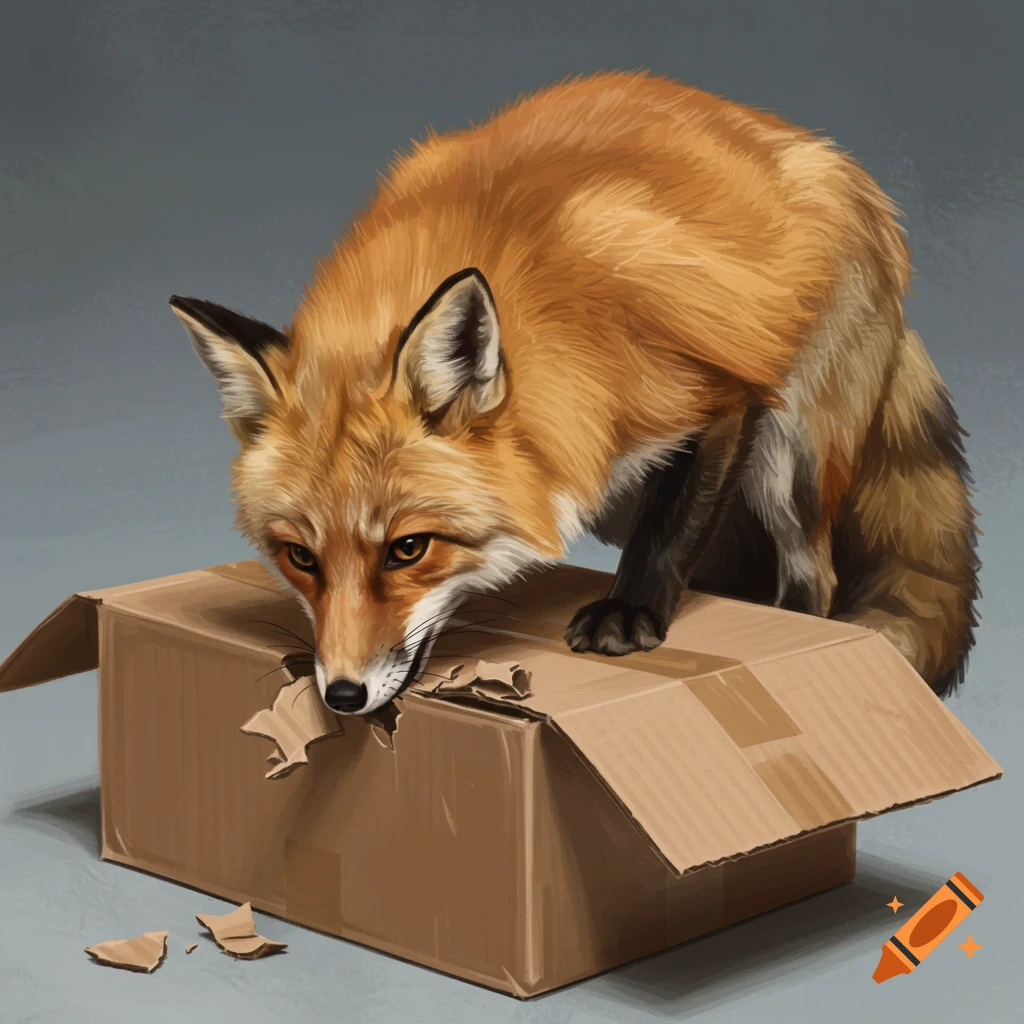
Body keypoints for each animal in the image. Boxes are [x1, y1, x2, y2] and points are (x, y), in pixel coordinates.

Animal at [170, 71, 979, 717]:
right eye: (299, 557)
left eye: (408, 549)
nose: (341, 695)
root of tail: (831, 158)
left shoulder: (714, 393)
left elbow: (668, 530)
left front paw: (628, 611)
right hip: (640, 500)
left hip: (792, 458)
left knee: (815, 574)